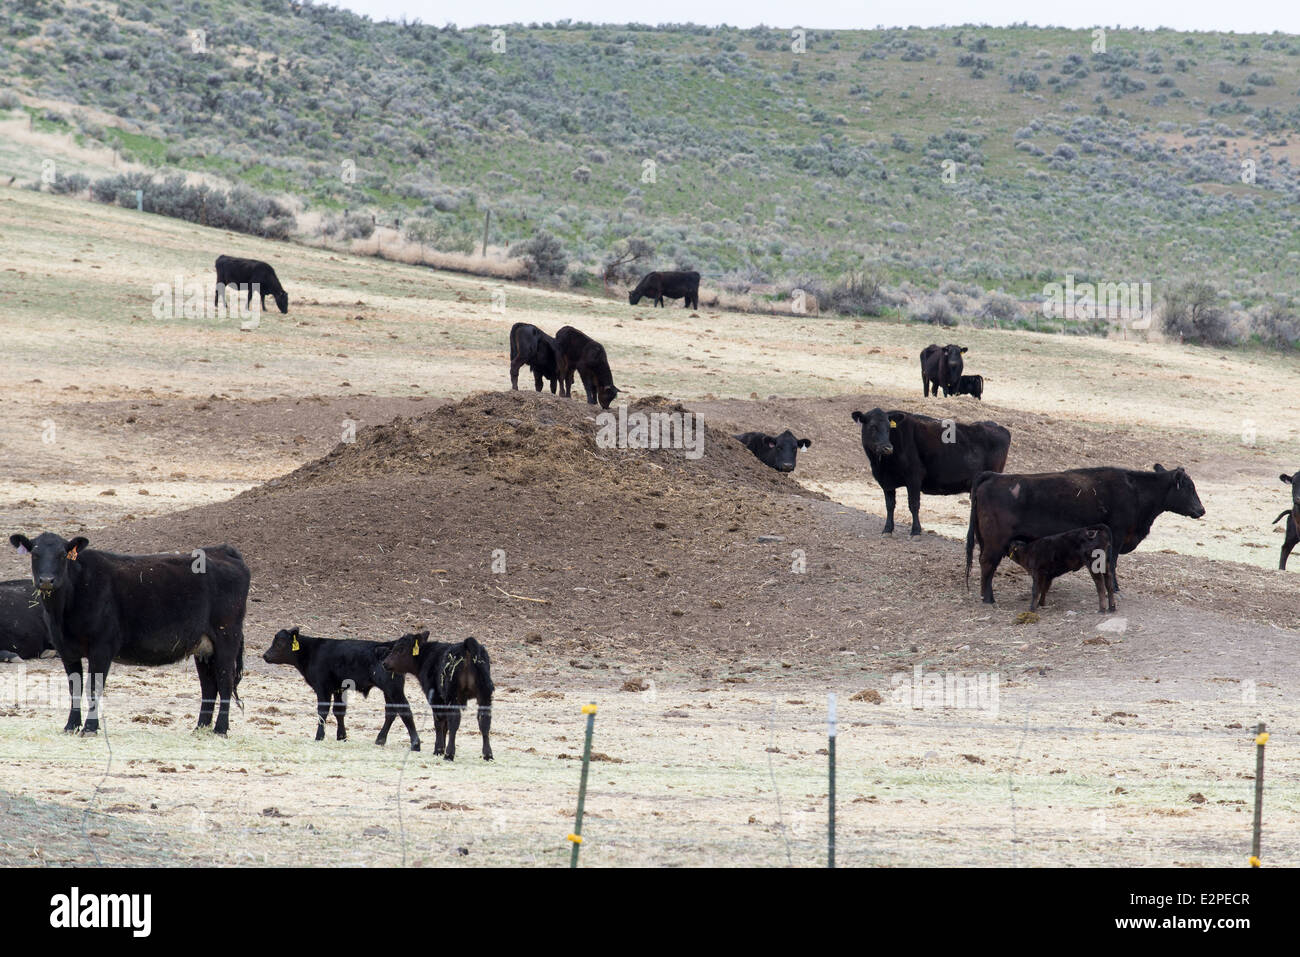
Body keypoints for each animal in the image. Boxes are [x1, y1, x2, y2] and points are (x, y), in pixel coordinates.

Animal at [8, 532, 249, 736]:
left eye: (61, 555)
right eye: (35, 553)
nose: (47, 580)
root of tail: (223, 551)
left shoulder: (102, 647)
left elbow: (94, 687)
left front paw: (90, 727)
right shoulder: (66, 650)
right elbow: (74, 687)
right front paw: (71, 725)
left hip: (226, 638)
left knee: (224, 682)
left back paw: (220, 729)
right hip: (204, 647)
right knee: (209, 686)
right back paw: (200, 728)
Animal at [262, 627, 420, 749]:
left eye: (280, 643)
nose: (265, 655)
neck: (312, 652)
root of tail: (390, 645)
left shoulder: (322, 686)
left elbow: (323, 711)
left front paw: (319, 736)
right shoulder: (339, 688)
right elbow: (339, 711)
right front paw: (342, 736)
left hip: (393, 688)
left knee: (405, 710)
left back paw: (415, 744)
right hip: (388, 690)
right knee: (391, 712)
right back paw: (380, 739)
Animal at [382, 632, 493, 761]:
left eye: (400, 649)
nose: (384, 663)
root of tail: (466, 645)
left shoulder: (435, 697)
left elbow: (439, 722)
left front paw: (439, 749)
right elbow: (444, 724)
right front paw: (441, 748)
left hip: (453, 693)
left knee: (454, 721)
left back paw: (449, 754)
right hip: (484, 694)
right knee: (484, 722)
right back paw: (488, 755)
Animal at [851, 408, 1011, 537]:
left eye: (889, 428)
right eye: (872, 427)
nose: (887, 448)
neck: (881, 465)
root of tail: (995, 426)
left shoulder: (914, 476)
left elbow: (914, 504)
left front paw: (915, 531)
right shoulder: (886, 482)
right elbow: (890, 505)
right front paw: (887, 530)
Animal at [966, 465, 1206, 604]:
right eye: (1189, 487)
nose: (1201, 510)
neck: (1135, 491)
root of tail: (993, 476)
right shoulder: (1116, 536)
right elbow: (1112, 563)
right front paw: (1115, 589)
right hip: (995, 542)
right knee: (987, 564)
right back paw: (988, 599)